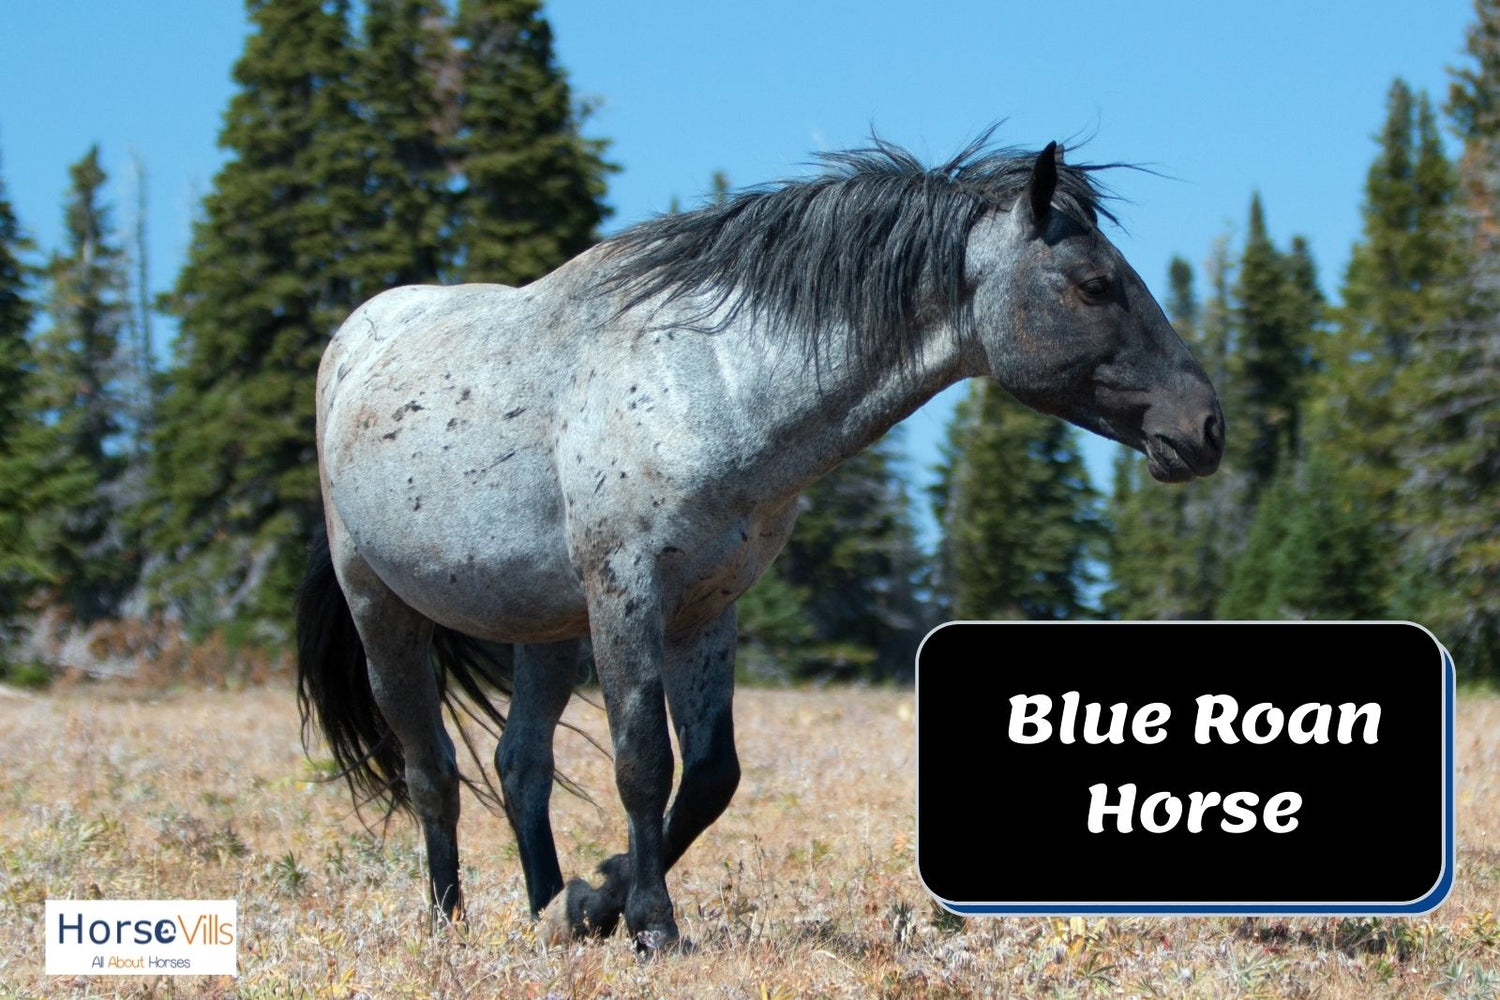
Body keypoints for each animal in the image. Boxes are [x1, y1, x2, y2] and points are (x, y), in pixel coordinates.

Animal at [295, 134, 1224, 952]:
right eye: (1094, 284)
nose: (1206, 427)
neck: (709, 388)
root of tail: (354, 338)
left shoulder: (707, 609)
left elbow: (711, 775)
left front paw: (594, 903)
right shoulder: (627, 595)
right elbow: (642, 762)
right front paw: (652, 927)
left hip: (547, 629)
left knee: (520, 761)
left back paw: (544, 908)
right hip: (385, 613)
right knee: (432, 769)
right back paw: (448, 923)